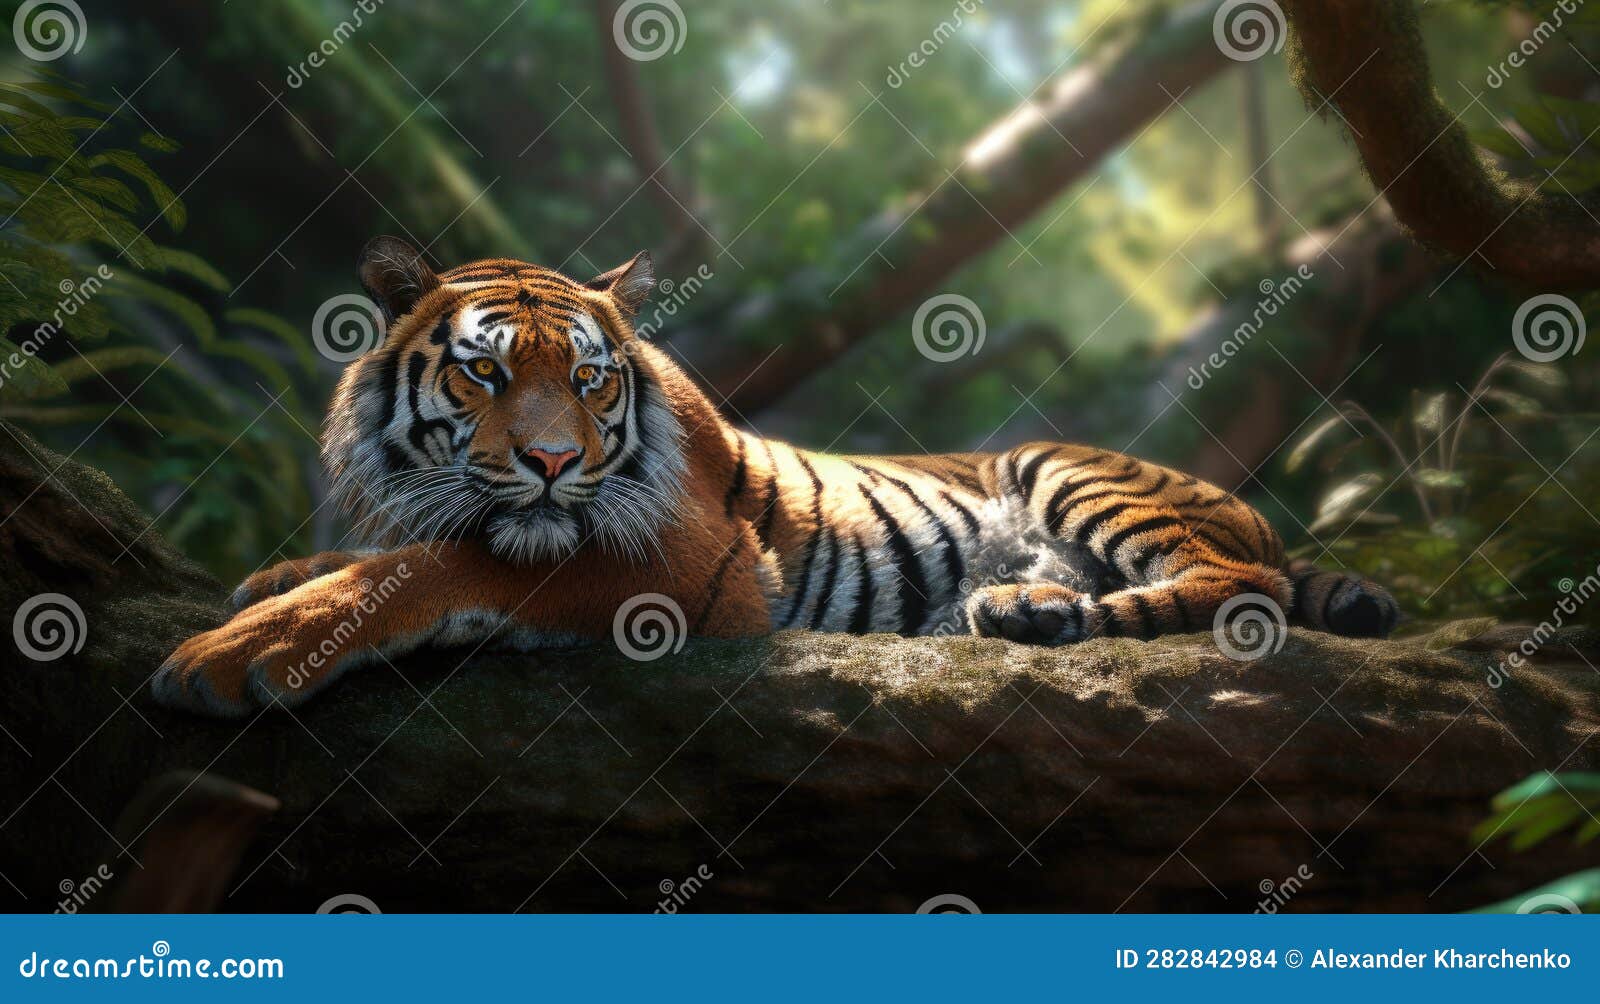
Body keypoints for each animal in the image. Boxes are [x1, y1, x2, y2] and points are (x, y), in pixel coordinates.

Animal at [152, 237, 1399, 717]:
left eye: (590, 378)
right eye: (486, 372)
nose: (553, 461)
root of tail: (1256, 513)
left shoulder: (679, 563)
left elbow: (438, 566)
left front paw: (234, 652)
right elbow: (388, 550)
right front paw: (273, 579)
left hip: (1067, 464)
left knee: (1241, 590)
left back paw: (1044, 610)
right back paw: (1027, 608)